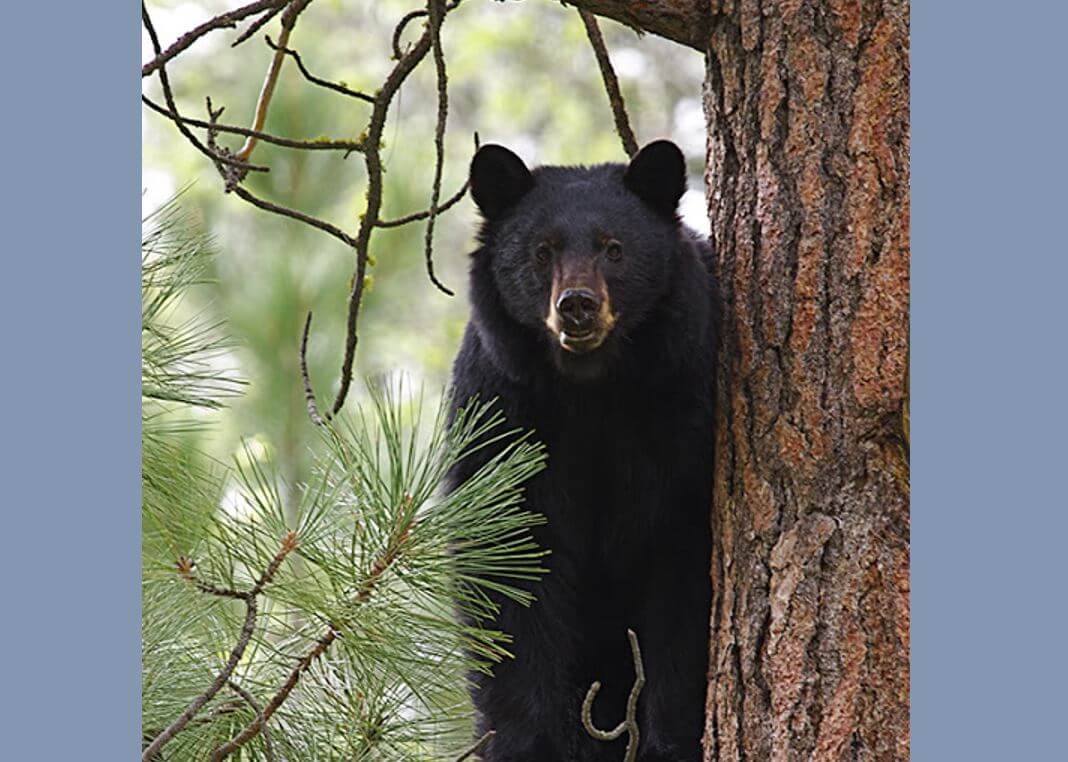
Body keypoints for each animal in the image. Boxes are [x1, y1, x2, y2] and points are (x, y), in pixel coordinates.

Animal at [445, 140, 720, 761]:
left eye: (614, 248)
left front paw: (670, 740)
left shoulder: (684, 409)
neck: (592, 388)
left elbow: (682, 578)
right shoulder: (503, 412)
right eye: (542, 251)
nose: (577, 305)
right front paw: (528, 742)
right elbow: (509, 570)